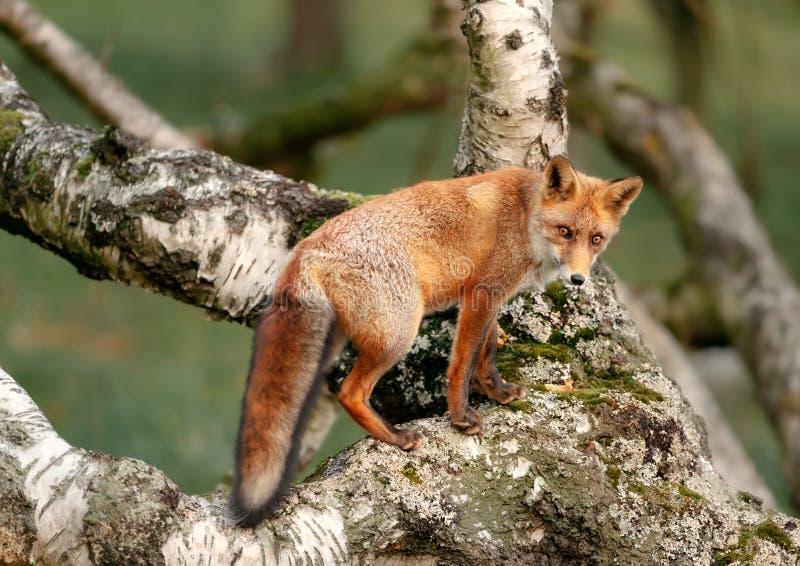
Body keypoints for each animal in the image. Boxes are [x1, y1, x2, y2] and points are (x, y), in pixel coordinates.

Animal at [230, 155, 642, 527]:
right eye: (565, 231)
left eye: (596, 239)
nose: (578, 280)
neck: (524, 217)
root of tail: (306, 248)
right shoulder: (481, 293)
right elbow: (462, 362)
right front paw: (461, 417)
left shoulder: (487, 296)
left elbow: (486, 354)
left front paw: (497, 393)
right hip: (399, 333)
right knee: (350, 392)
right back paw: (395, 438)